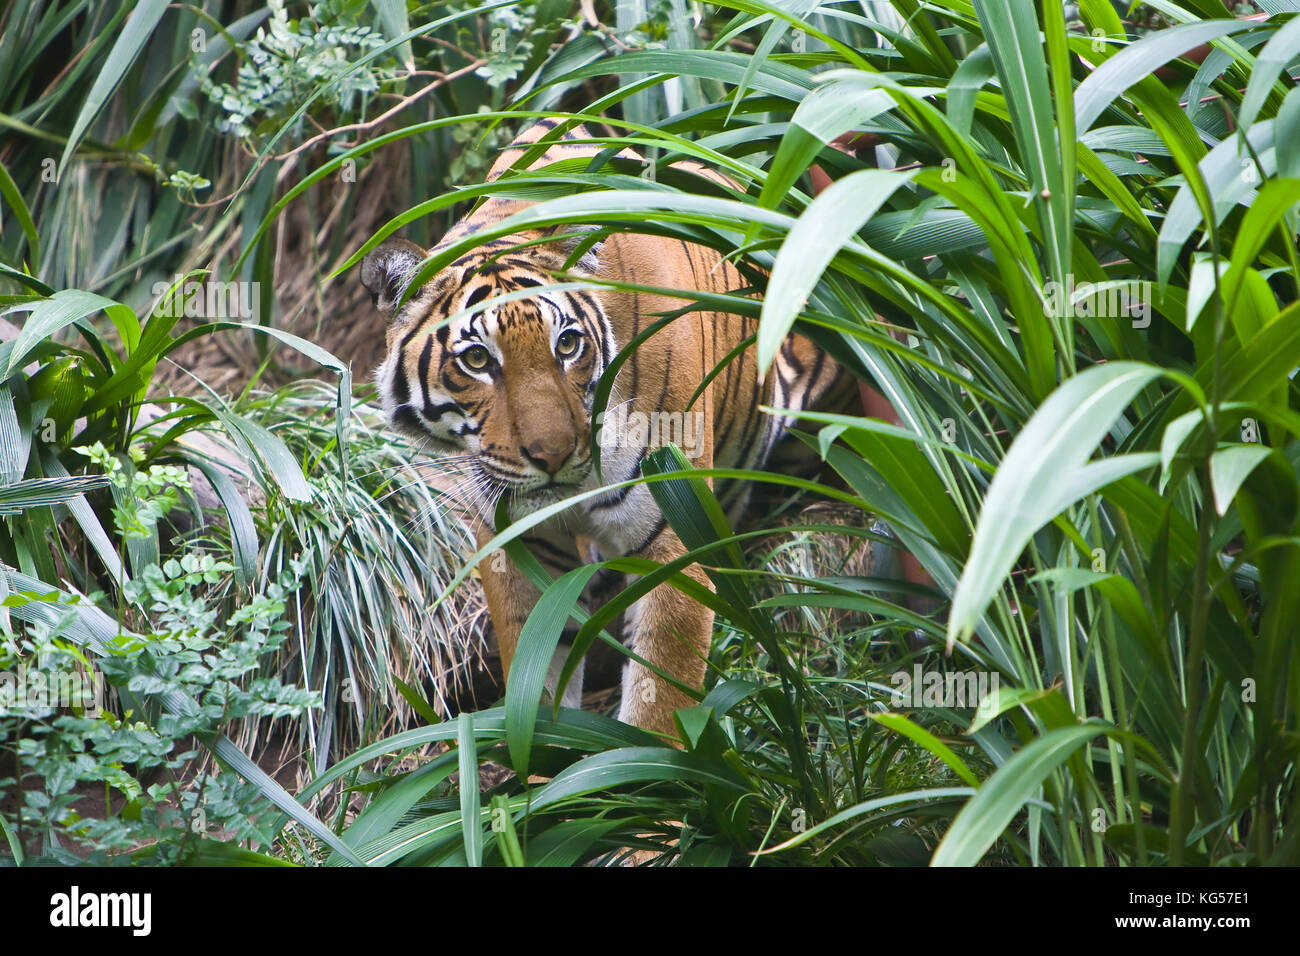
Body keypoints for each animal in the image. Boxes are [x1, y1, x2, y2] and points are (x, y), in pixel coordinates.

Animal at [362, 120, 848, 738]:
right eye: (476, 360)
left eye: (567, 345)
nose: (551, 456)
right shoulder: (518, 545)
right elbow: (535, 666)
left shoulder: (672, 533)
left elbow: (662, 694)